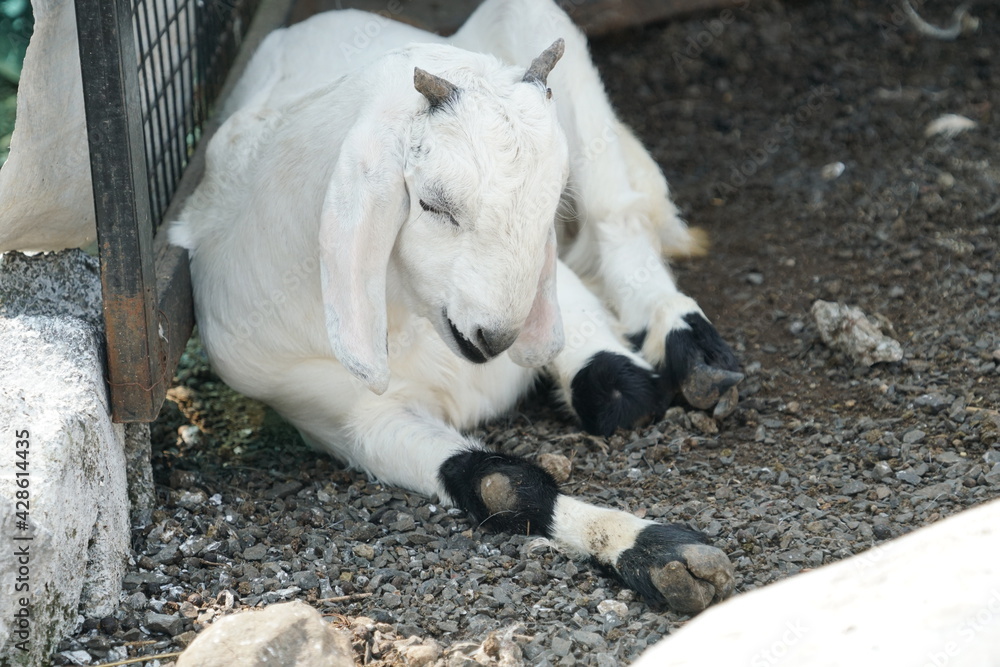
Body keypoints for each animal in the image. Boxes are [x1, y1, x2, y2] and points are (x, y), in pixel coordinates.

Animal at [170, 0, 742, 613]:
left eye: (551, 200)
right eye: (433, 204)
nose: (497, 337)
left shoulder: (547, 287)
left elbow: (621, 391)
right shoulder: (336, 414)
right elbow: (502, 485)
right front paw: (657, 553)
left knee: (620, 216)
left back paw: (694, 351)